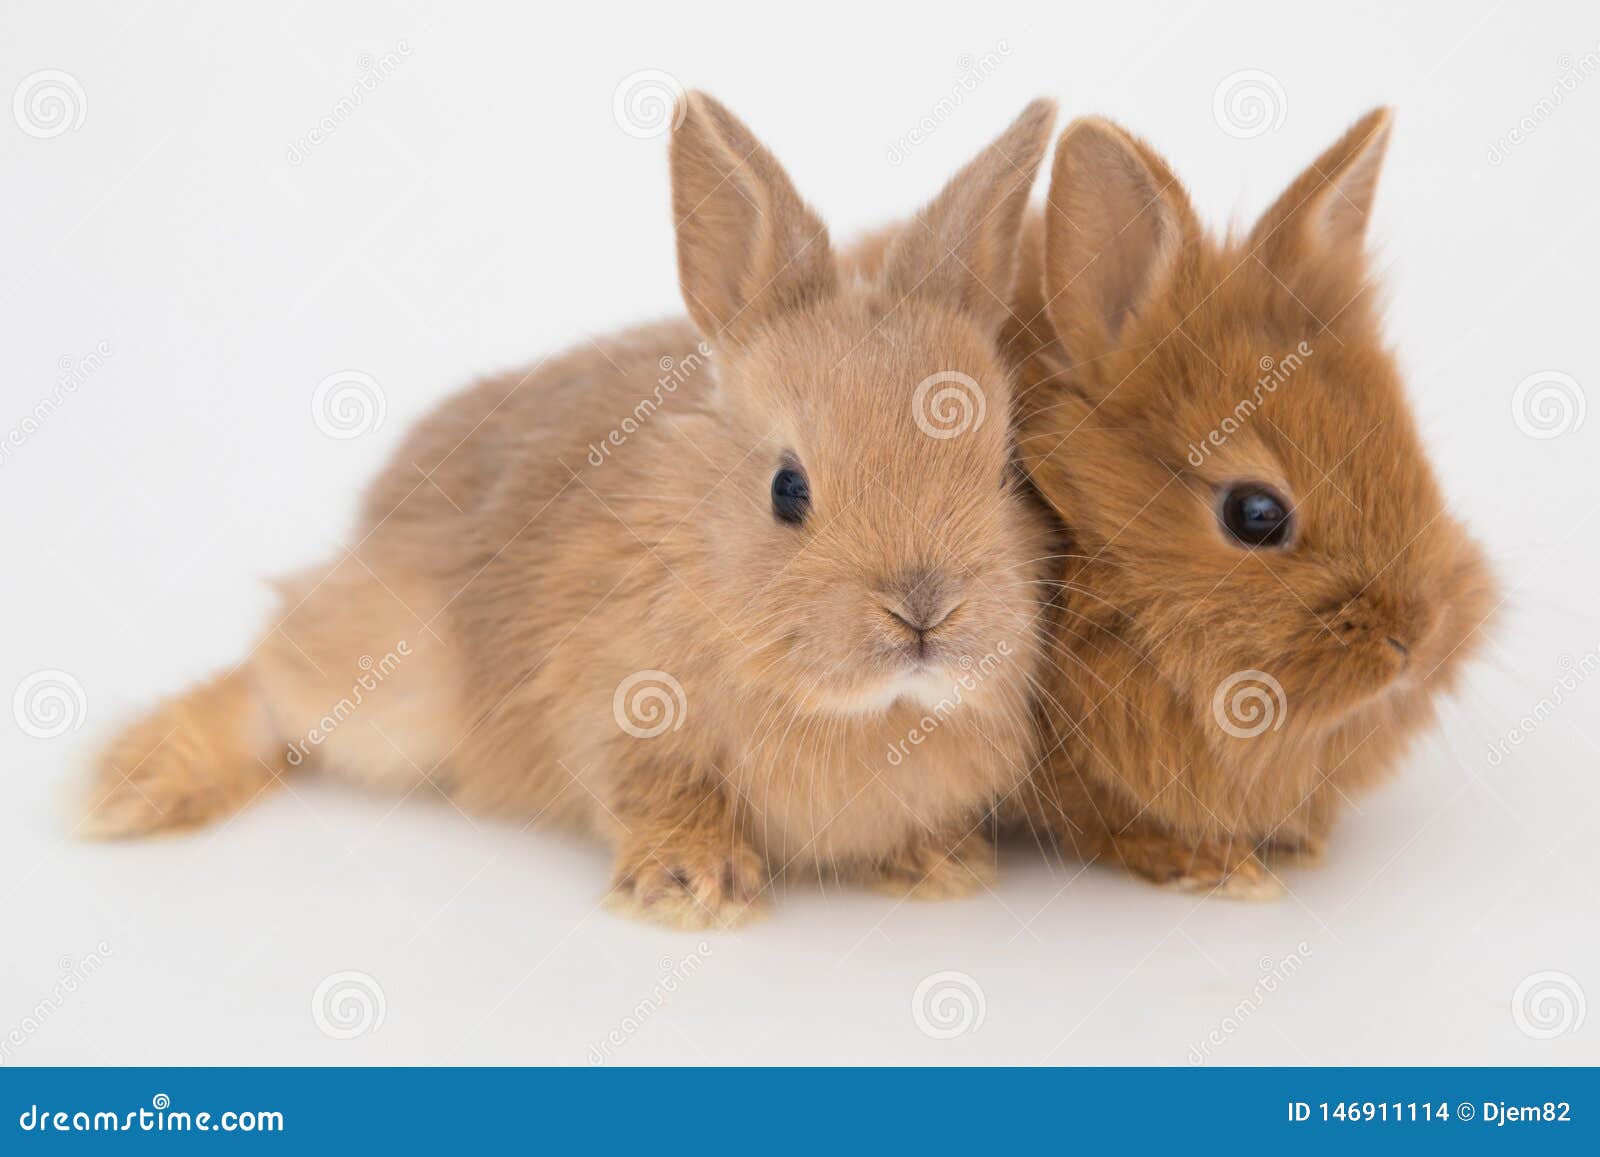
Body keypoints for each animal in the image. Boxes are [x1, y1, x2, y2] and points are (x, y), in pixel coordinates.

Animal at [81, 93, 1060, 928]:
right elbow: (661, 795)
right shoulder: (619, 715)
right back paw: (128, 788)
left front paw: (941, 865)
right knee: (269, 684)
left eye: (1007, 472)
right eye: (789, 488)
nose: (925, 611)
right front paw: (692, 889)